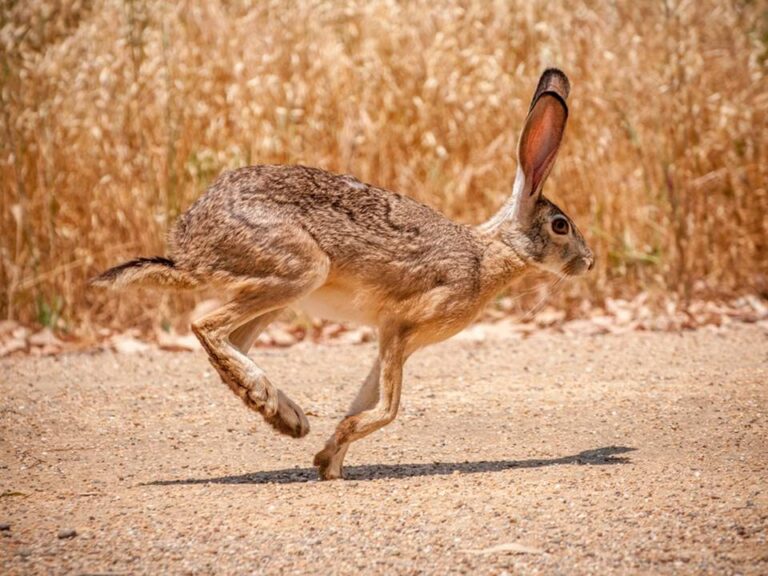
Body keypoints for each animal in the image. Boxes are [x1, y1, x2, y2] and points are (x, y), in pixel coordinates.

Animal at [92, 68, 593, 480]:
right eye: (560, 226)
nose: (588, 262)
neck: (487, 253)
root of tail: (189, 246)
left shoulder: (395, 340)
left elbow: (368, 397)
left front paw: (329, 462)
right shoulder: (399, 326)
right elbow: (388, 409)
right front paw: (334, 450)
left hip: (281, 291)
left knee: (229, 340)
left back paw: (281, 413)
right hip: (298, 269)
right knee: (206, 326)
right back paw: (273, 404)